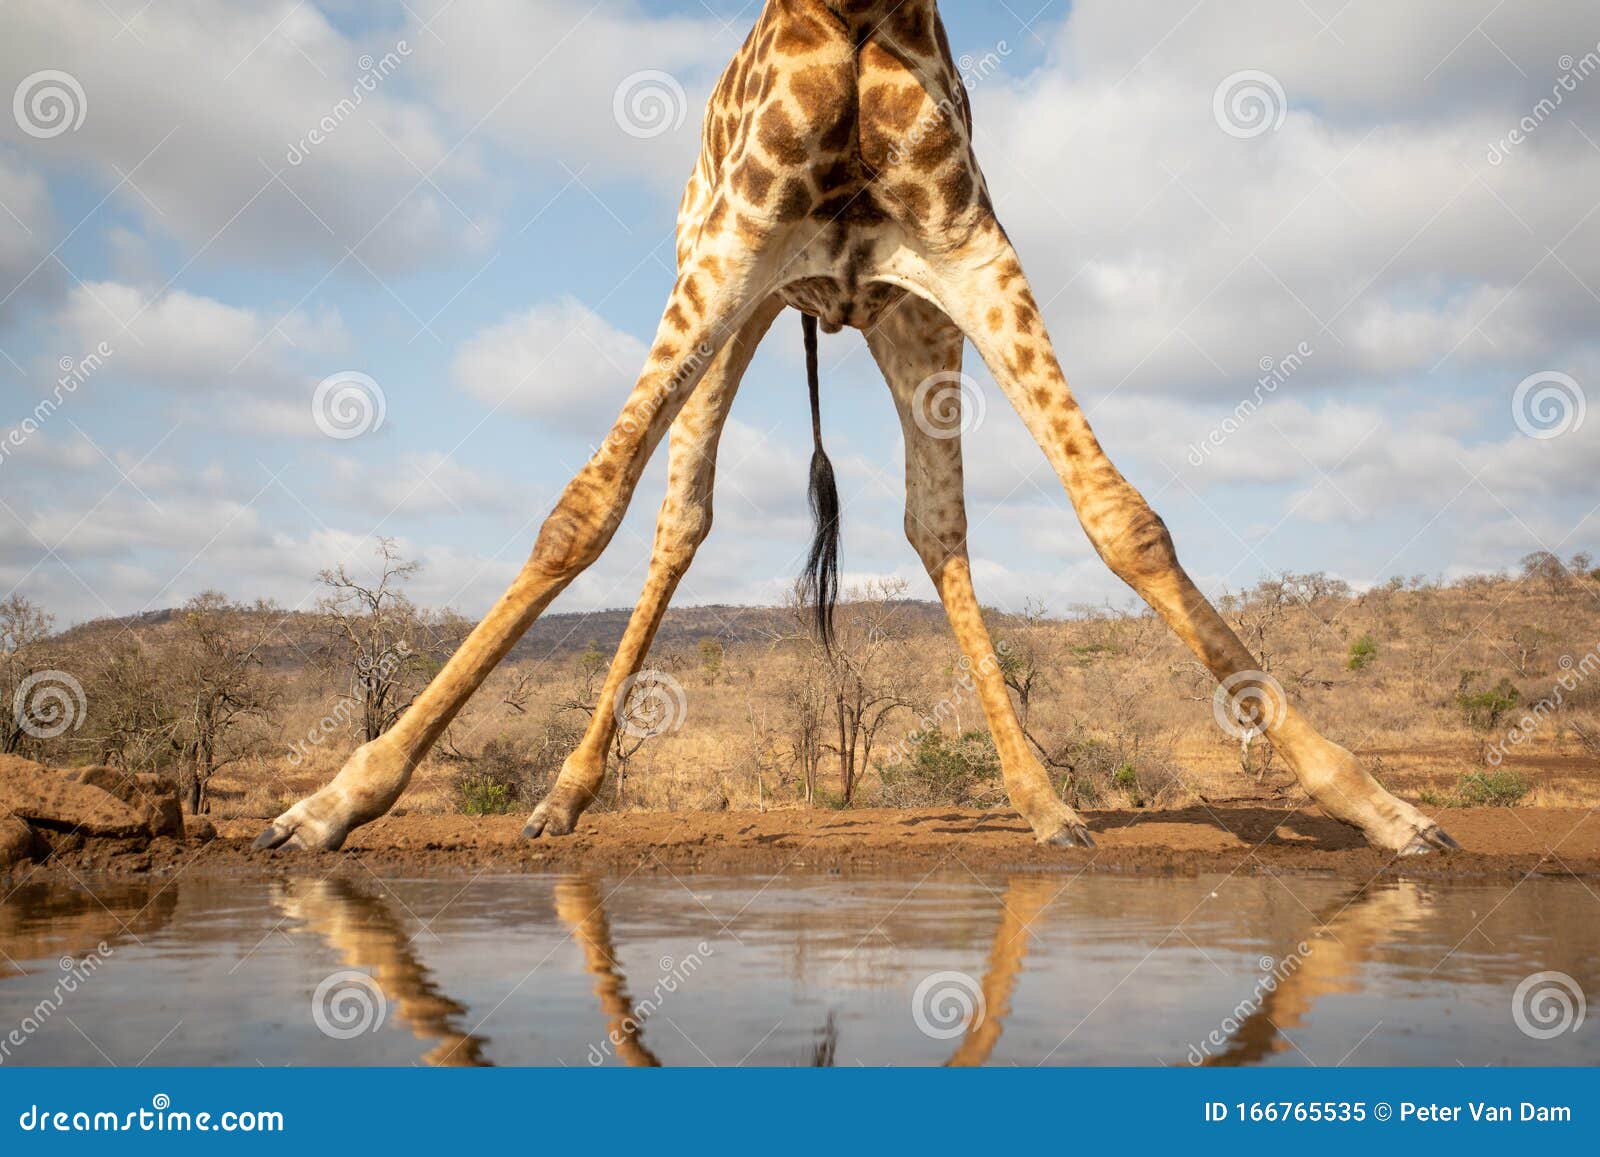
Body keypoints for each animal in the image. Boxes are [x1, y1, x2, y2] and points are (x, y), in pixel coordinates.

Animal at [257, 0, 1458, 856]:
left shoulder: (972, 247)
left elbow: (1120, 516)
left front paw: (1377, 804)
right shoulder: (731, 249)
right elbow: (581, 510)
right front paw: (333, 801)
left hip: (909, 319)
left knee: (936, 524)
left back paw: (1042, 800)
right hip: (724, 300)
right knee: (679, 518)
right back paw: (558, 799)